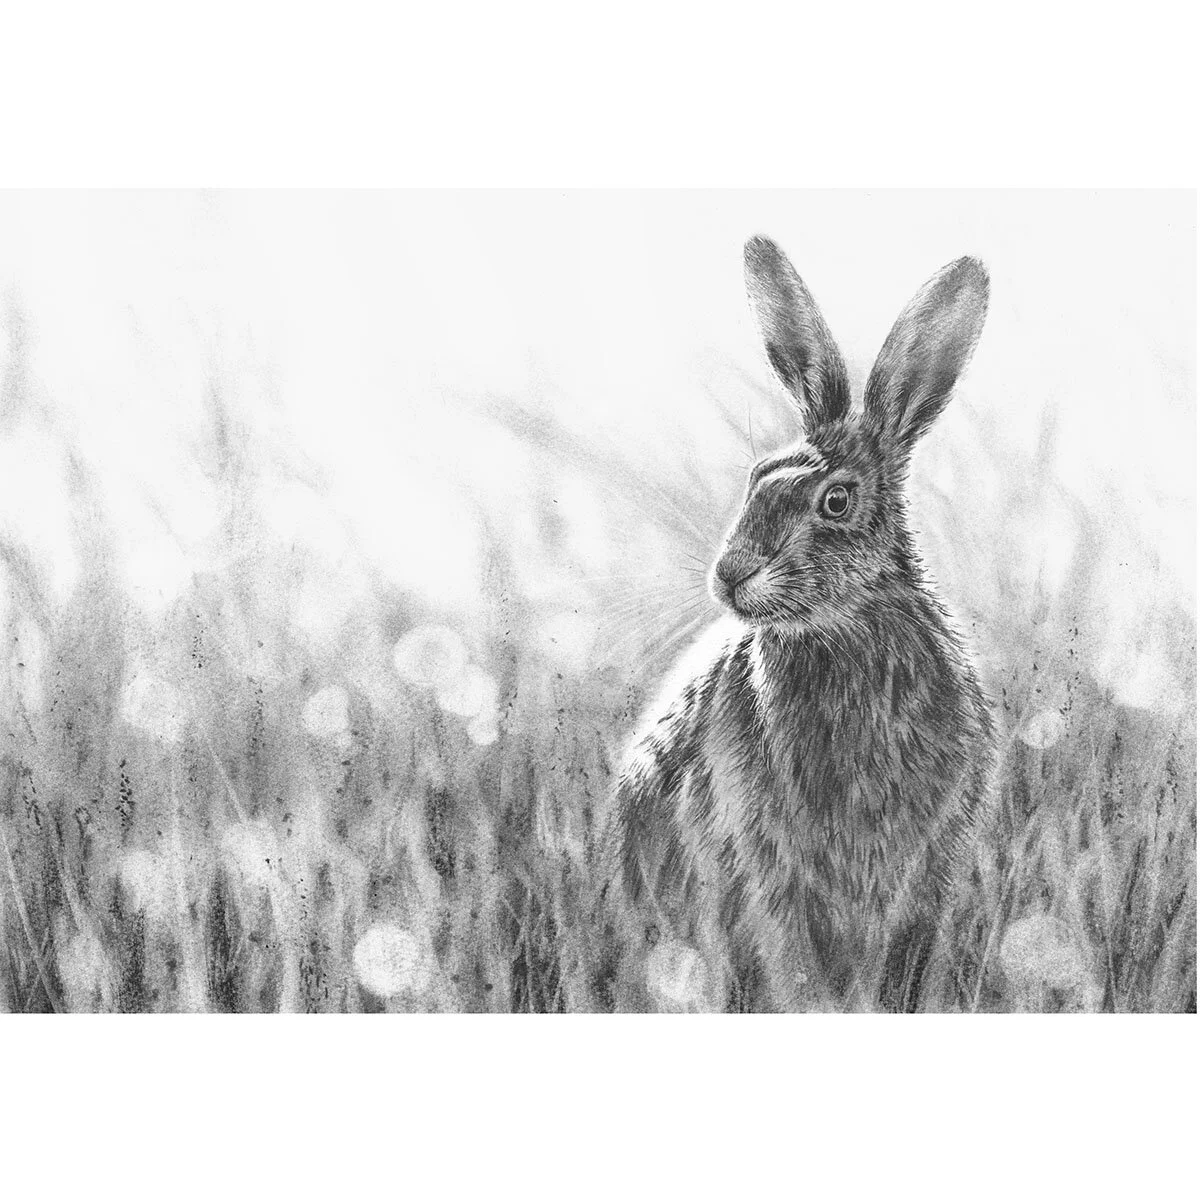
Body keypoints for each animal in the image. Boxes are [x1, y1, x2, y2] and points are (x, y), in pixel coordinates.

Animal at [602, 238, 996, 1012]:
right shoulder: (770, 868)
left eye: (836, 501)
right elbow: (798, 971)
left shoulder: (930, 869)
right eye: (756, 477)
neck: (843, 629)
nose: (730, 574)